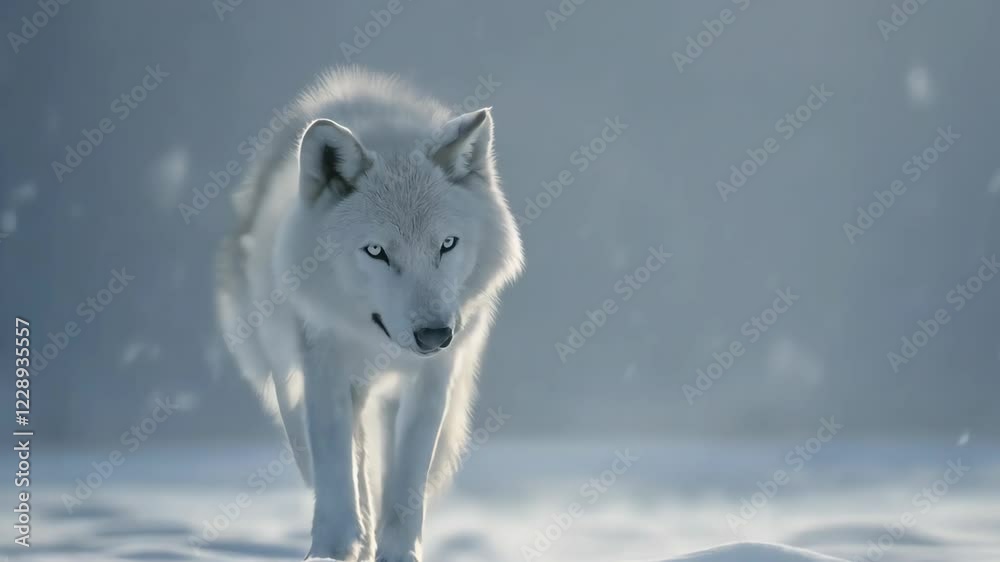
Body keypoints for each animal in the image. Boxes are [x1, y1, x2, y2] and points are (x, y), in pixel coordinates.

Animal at [215, 67, 524, 561]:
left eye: (447, 244)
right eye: (376, 251)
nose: (435, 335)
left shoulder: (432, 379)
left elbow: (406, 482)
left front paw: (397, 552)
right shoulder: (323, 367)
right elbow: (337, 467)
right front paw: (334, 547)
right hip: (287, 368)